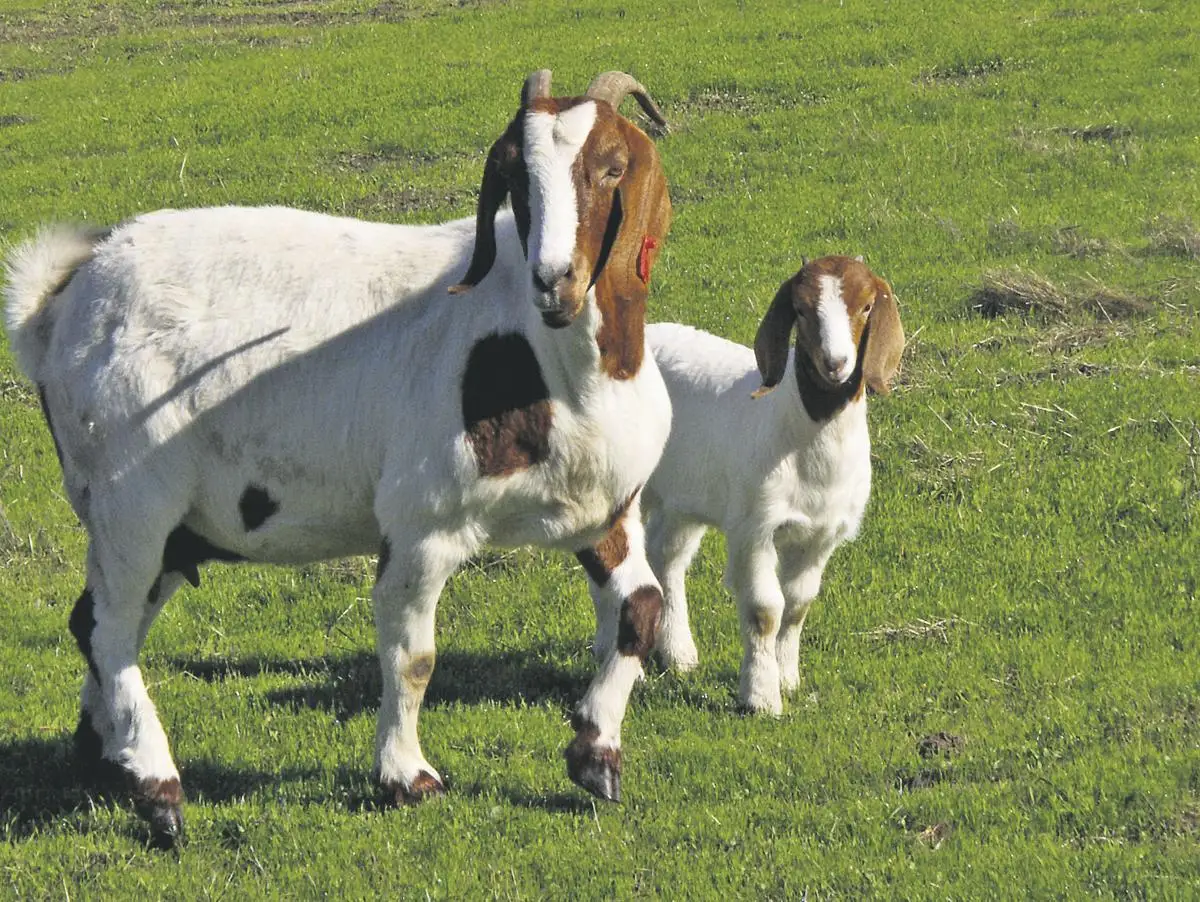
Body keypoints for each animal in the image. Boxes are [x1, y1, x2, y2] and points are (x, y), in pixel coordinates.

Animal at [3, 69, 673, 847]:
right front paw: (406, 777)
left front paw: (596, 756)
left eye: (613, 168)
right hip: (128, 500)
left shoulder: (604, 510)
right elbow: (413, 656)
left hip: (174, 527)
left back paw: (102, 754)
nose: (554, 279)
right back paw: (157, 788)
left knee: (103, 622)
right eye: (516, 180)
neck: (554, 362)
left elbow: (642, 610)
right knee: (106, 629)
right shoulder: (423, 524)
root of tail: (61, 300)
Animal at [594, 256, 903, 714]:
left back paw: (678, 654)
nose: (835, 363)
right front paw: (761, 696)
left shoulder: (820, 535)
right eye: (800, 309)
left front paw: (788, 678)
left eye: (866, 306)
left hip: (687, 493)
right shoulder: (755, 527)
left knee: (666, 557)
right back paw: (611, 653)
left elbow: (798, 604)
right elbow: (765, 611)